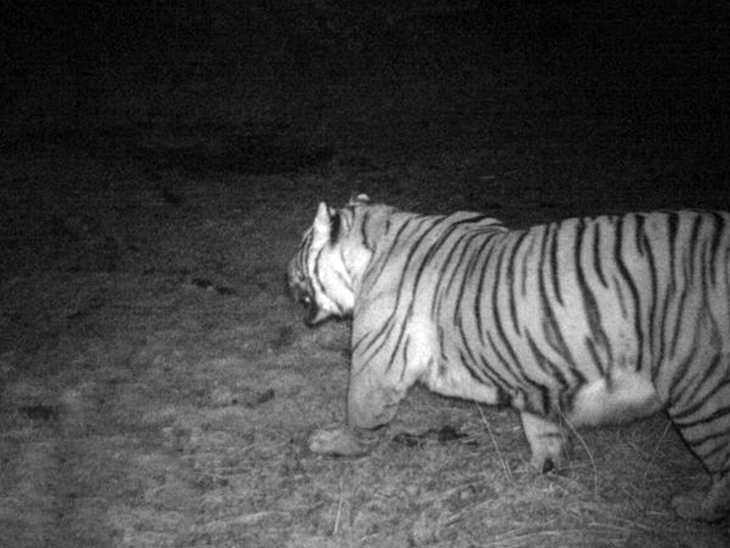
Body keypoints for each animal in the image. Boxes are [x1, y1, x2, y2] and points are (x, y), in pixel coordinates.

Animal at [287, 193, 730, 522]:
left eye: (302, 245)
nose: (285, 275)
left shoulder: (377, 360)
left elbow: (359, 411)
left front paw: (333, 443)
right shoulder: (537, 370)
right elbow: (542, 430)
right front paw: (540, 471)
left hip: (699, 389)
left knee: (722, 464)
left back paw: (696, 508)